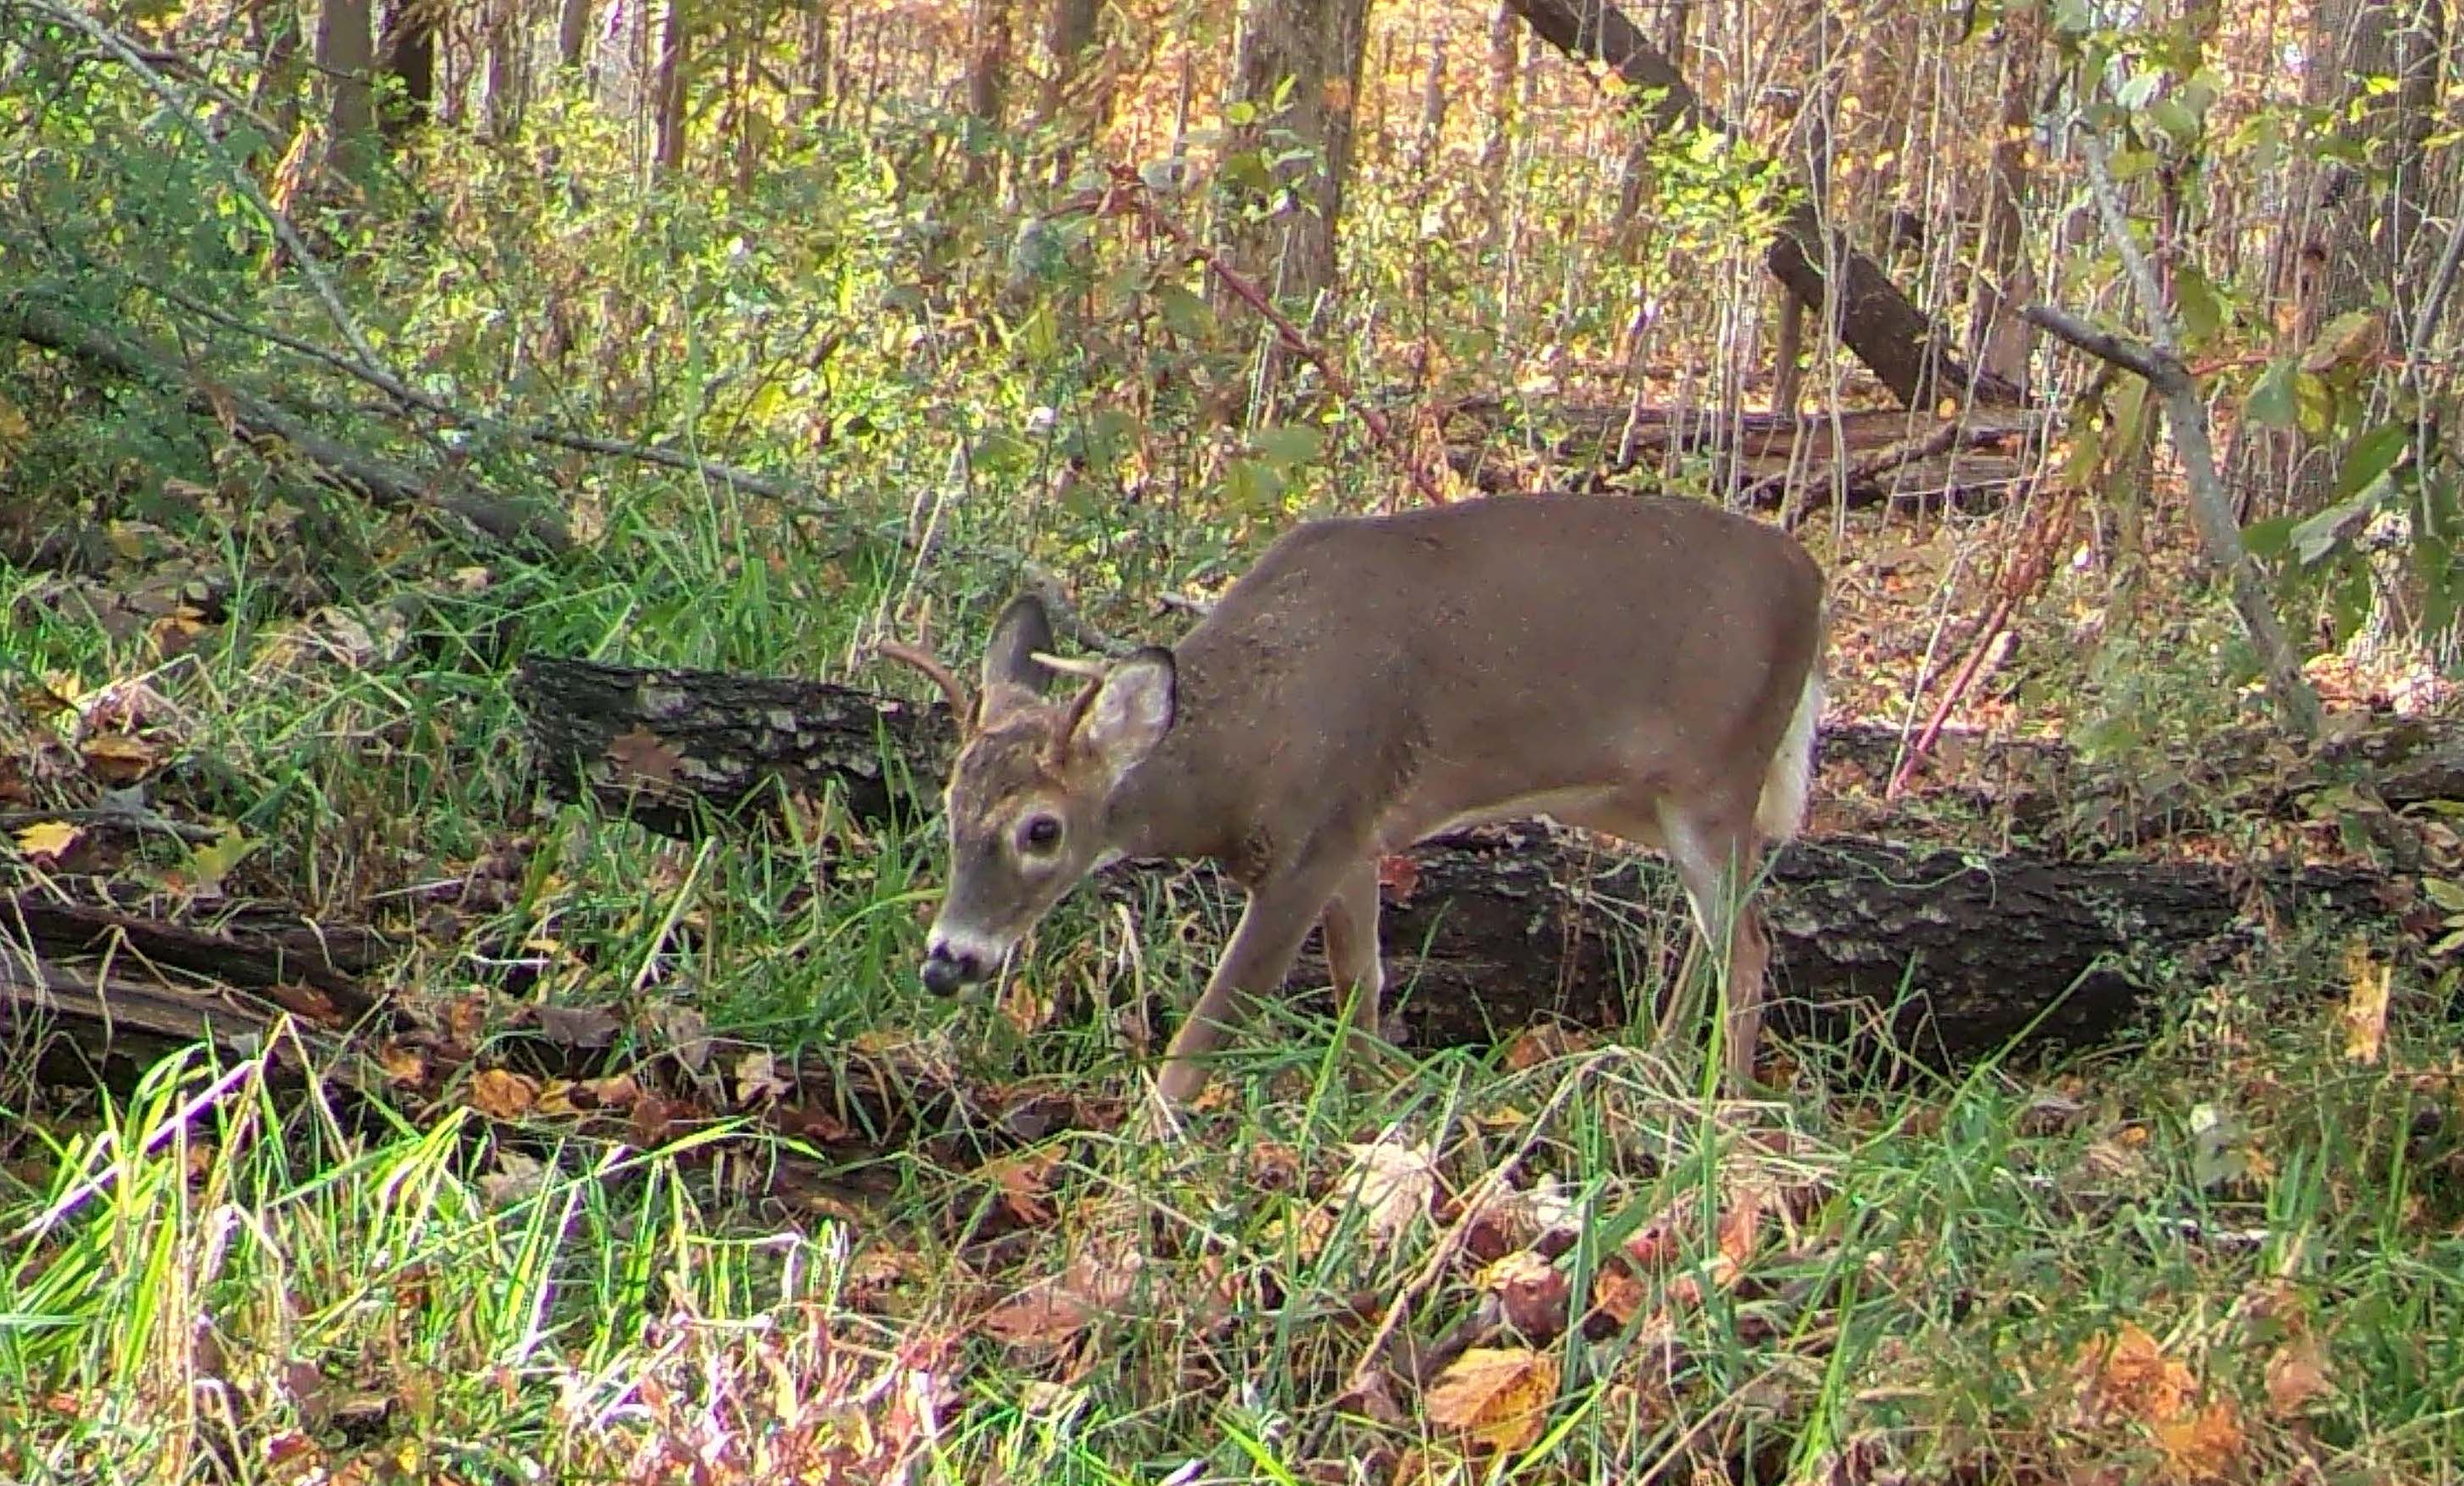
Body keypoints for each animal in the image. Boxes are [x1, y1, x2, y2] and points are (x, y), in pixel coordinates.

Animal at [879, 492, 1826, 1109]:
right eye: (948, 807)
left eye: (1041, 829)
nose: (946, 961)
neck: (1248, 748)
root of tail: (1812, 583)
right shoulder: (1359, 834)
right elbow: (1362, 984)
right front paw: (1367, 1113)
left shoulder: (1312, 842)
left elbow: (1213, 1024)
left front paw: (1145, 1156)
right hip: (1643, 800)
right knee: (1716, 934)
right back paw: (1655, 1068)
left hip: (1716, 775)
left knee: (1747, 944)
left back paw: (1723, 1111)